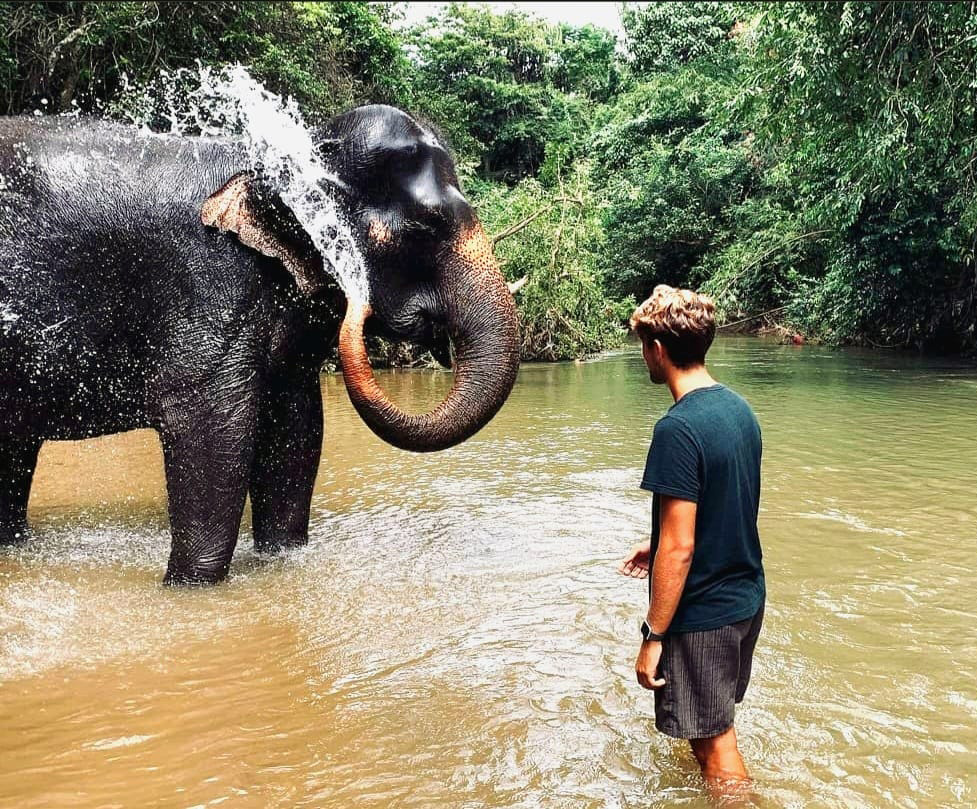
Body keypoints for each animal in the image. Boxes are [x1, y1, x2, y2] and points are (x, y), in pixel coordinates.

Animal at [0, 105, 520, 584]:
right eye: (425, 228)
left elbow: (297, 428)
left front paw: (282, 558)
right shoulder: (208, 281)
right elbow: (211, 428)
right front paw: (190, 589)